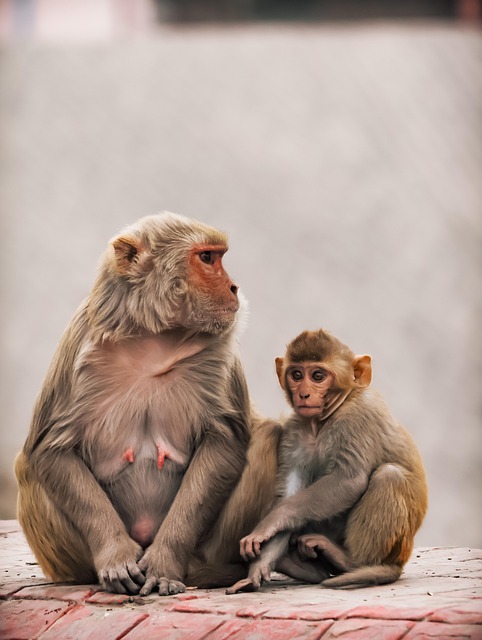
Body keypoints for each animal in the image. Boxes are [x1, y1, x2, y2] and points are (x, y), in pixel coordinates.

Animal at [15, 211, 261, 597]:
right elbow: (49, 448)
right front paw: (116, 556)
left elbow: (225, 440)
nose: (234, 287)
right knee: (27, 465)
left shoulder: (219, 351)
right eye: (207, 258)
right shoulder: (79, 343)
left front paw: (164, 563)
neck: (153, 337)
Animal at [227, 328, 428, 593]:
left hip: (398, 548)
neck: (322, 422)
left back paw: (352, 562)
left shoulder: (358, 417)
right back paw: (302, 566)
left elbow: (348, 480)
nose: (304, 393)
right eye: (297, 374)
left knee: (389, 475)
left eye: (318, 376)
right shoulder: (295, 431)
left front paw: (269, 522)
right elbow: (290, 492)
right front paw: (258, 569)